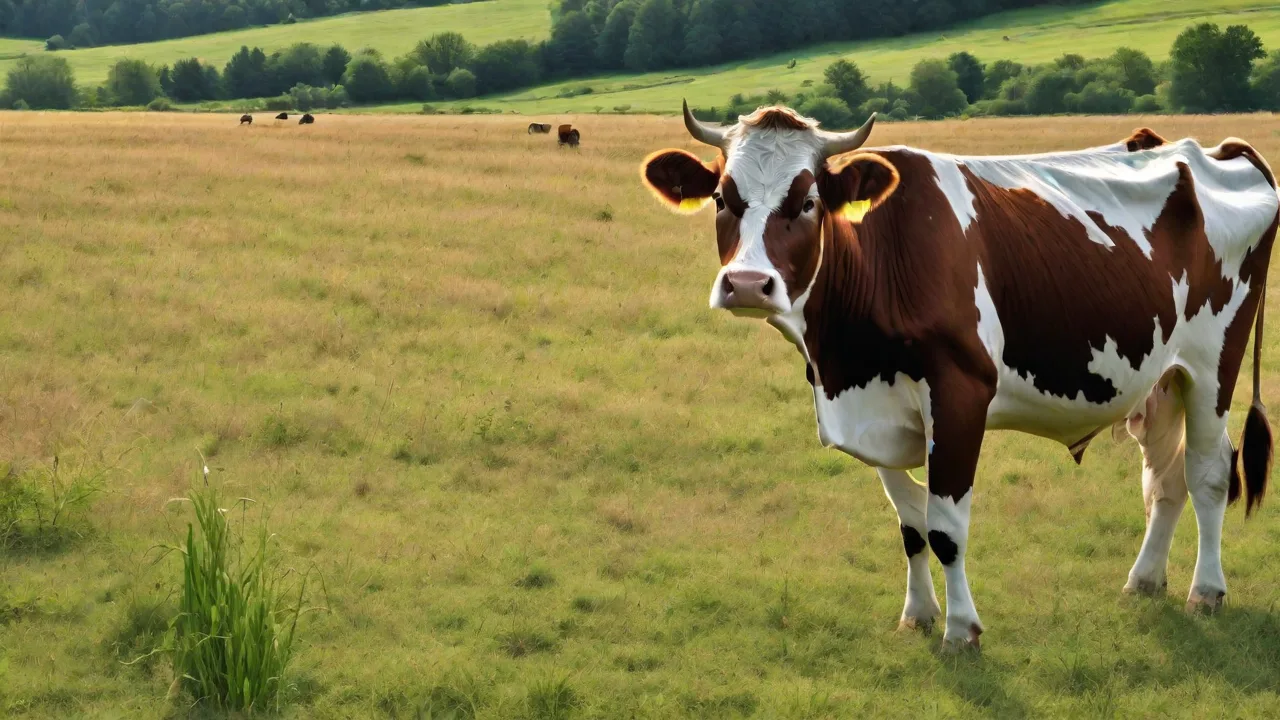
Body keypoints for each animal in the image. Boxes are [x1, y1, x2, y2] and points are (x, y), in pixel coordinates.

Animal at [639, 101, 1278, 651]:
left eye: (807, 202)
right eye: (721, 198)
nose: (748, 284)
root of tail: (1209, 149)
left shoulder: (959, 396)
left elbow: (945, 527)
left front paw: (960, 631)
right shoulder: (881, 411)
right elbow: (911, 524)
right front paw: (917, 615)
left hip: (1213, 366)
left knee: (1209, 472)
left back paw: (1206, 590)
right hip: (1160, 378)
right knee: (1165, 477)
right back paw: (1144, 580)